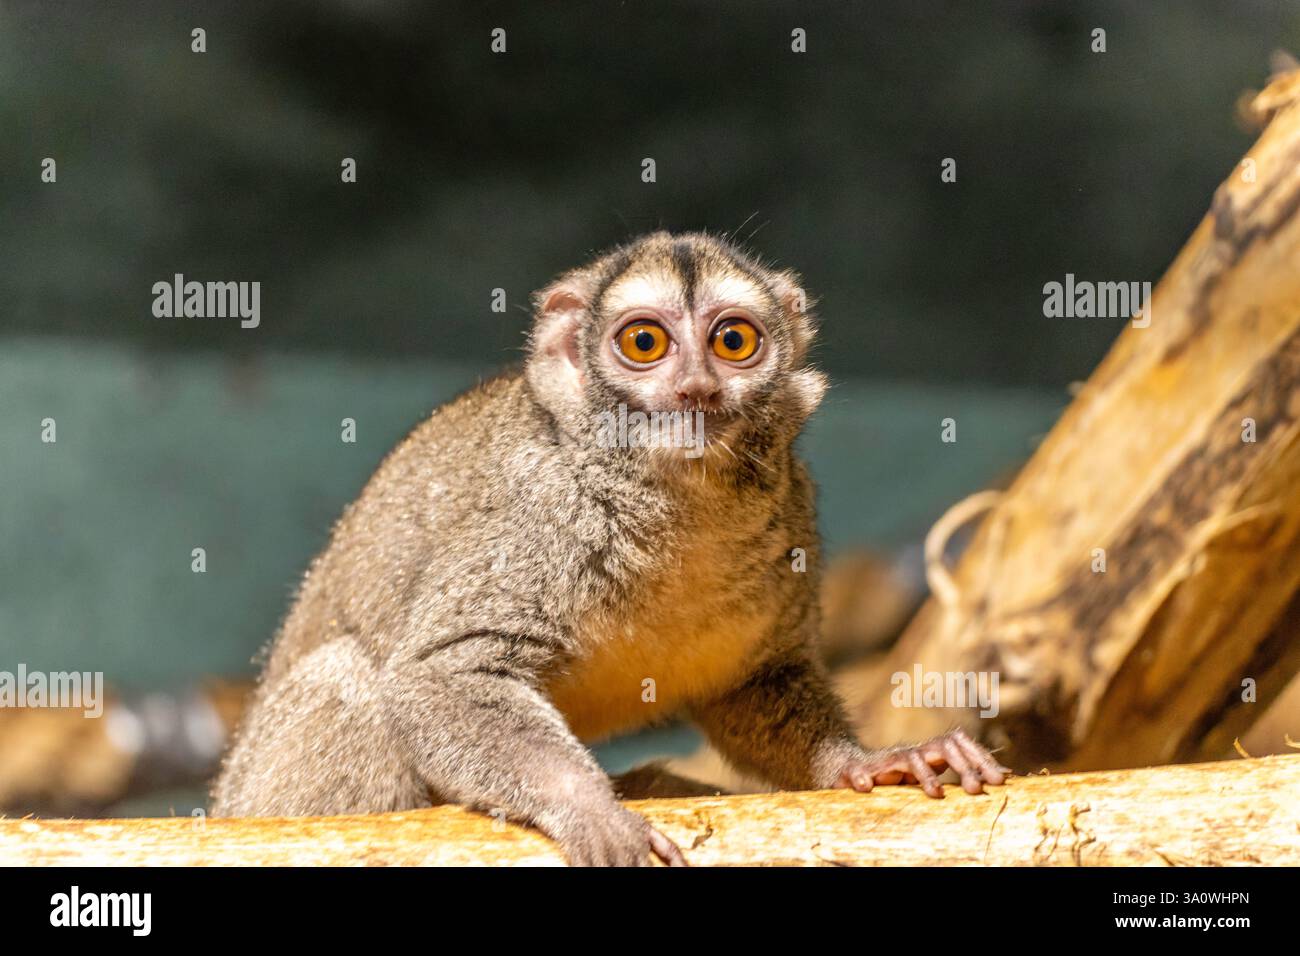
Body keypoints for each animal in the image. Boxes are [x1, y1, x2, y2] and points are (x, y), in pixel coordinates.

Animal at [210, 231, 1010, 865]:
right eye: (644, 342)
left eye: (733, 341)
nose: (696, 390)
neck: (672, 500)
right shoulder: (535, 520)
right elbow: (438, 673)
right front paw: (589, 807)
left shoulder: (794, 514)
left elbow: (754, 677)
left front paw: (870, 762)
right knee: (350, 674)